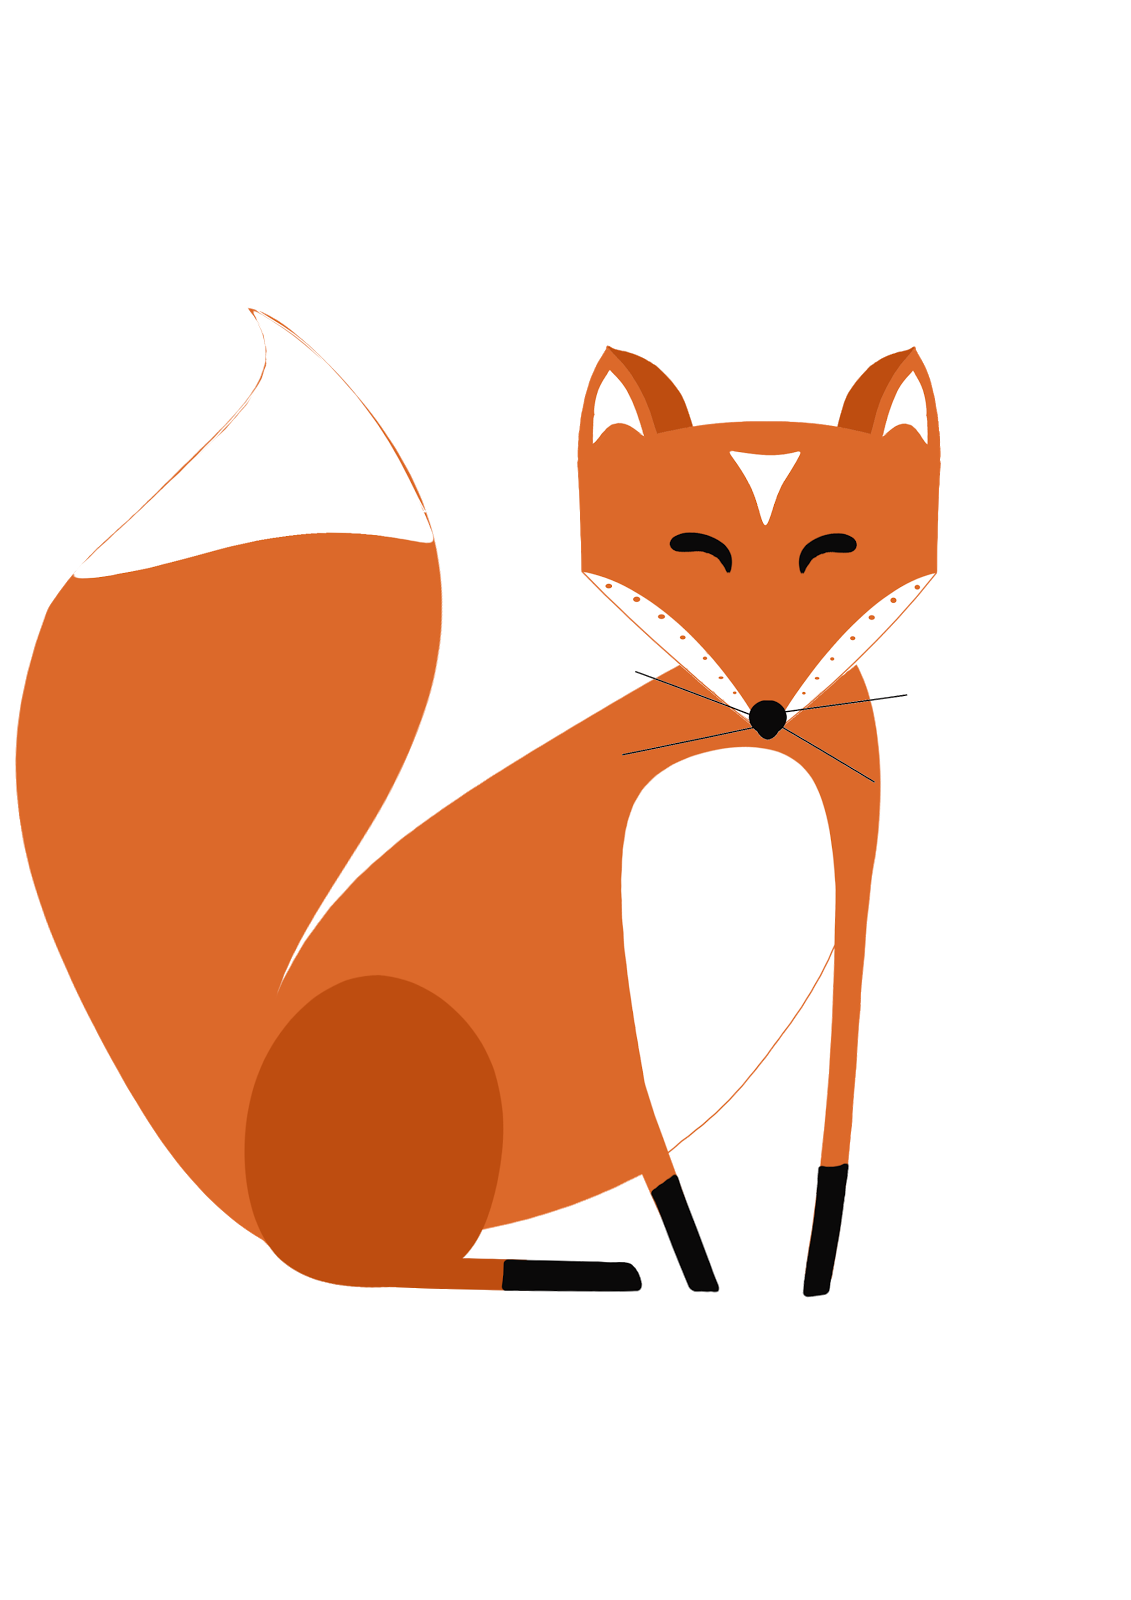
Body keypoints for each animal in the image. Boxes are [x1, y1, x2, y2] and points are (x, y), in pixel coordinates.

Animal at [16, 312, 939, 1294]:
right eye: (694, 550)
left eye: (833, 550)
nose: (768, 713)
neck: (745, 771)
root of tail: (241, 1166)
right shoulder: (587, 895)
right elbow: (654, 1152)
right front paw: (696, 1271)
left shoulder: (855, 868)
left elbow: (837, 1117)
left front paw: (814, 1267)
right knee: (368, 1266)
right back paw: (558, 1268)